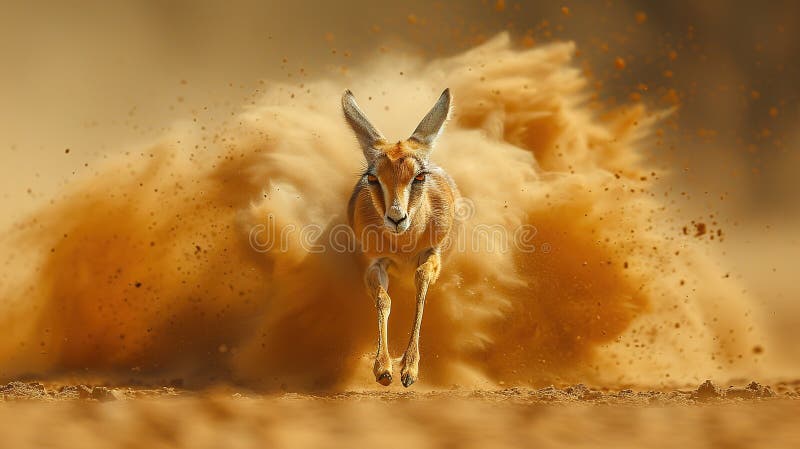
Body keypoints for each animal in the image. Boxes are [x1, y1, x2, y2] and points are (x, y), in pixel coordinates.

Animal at [342, 89, 458, 387]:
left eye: (419, 176)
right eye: (373, 178)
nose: (396, 218)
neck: (404, 244)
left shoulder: (432, 254)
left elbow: (421, 285)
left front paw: (409, 369)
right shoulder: (376, 263)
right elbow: (384, 300)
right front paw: (383, 370)